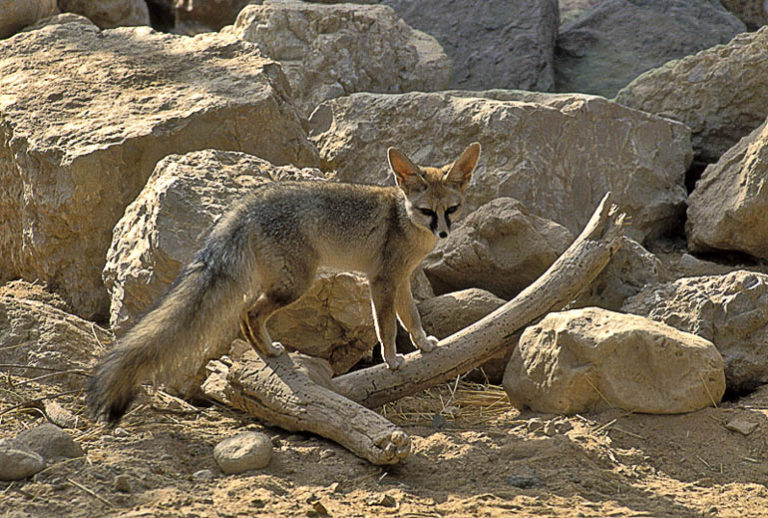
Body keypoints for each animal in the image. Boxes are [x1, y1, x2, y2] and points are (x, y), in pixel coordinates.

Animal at [87, 142, 482, 425]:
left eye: (452, 210)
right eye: (427, 212)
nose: (443, 234)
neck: (404, 221)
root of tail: (246, 204)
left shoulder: (400, 281)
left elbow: (411, 318)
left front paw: (425, 345)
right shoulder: (382, 281)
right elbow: (386, 325)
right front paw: (392, 360)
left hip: (283, 283)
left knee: (246, 314)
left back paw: (265, 353)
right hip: (297, 285)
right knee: (248, 313)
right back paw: (270, 351)